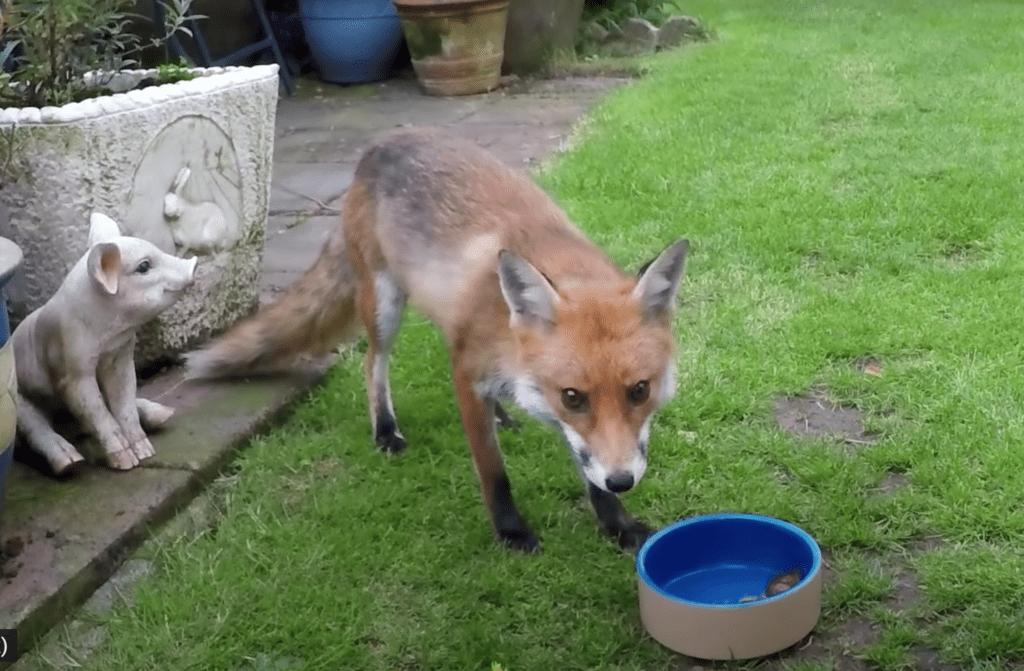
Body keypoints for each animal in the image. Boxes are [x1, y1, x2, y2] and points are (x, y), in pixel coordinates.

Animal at [186, 128, 688, 553]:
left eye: (639, 391)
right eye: (573, 396)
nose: (622, 481)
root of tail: (384, 142)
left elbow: (587, 466)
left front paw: (616, 524)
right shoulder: (474, 379)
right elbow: (493, 472)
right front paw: (511, 531)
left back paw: (502, 414)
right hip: (384, 305)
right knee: (372, 362)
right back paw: (386, 430)